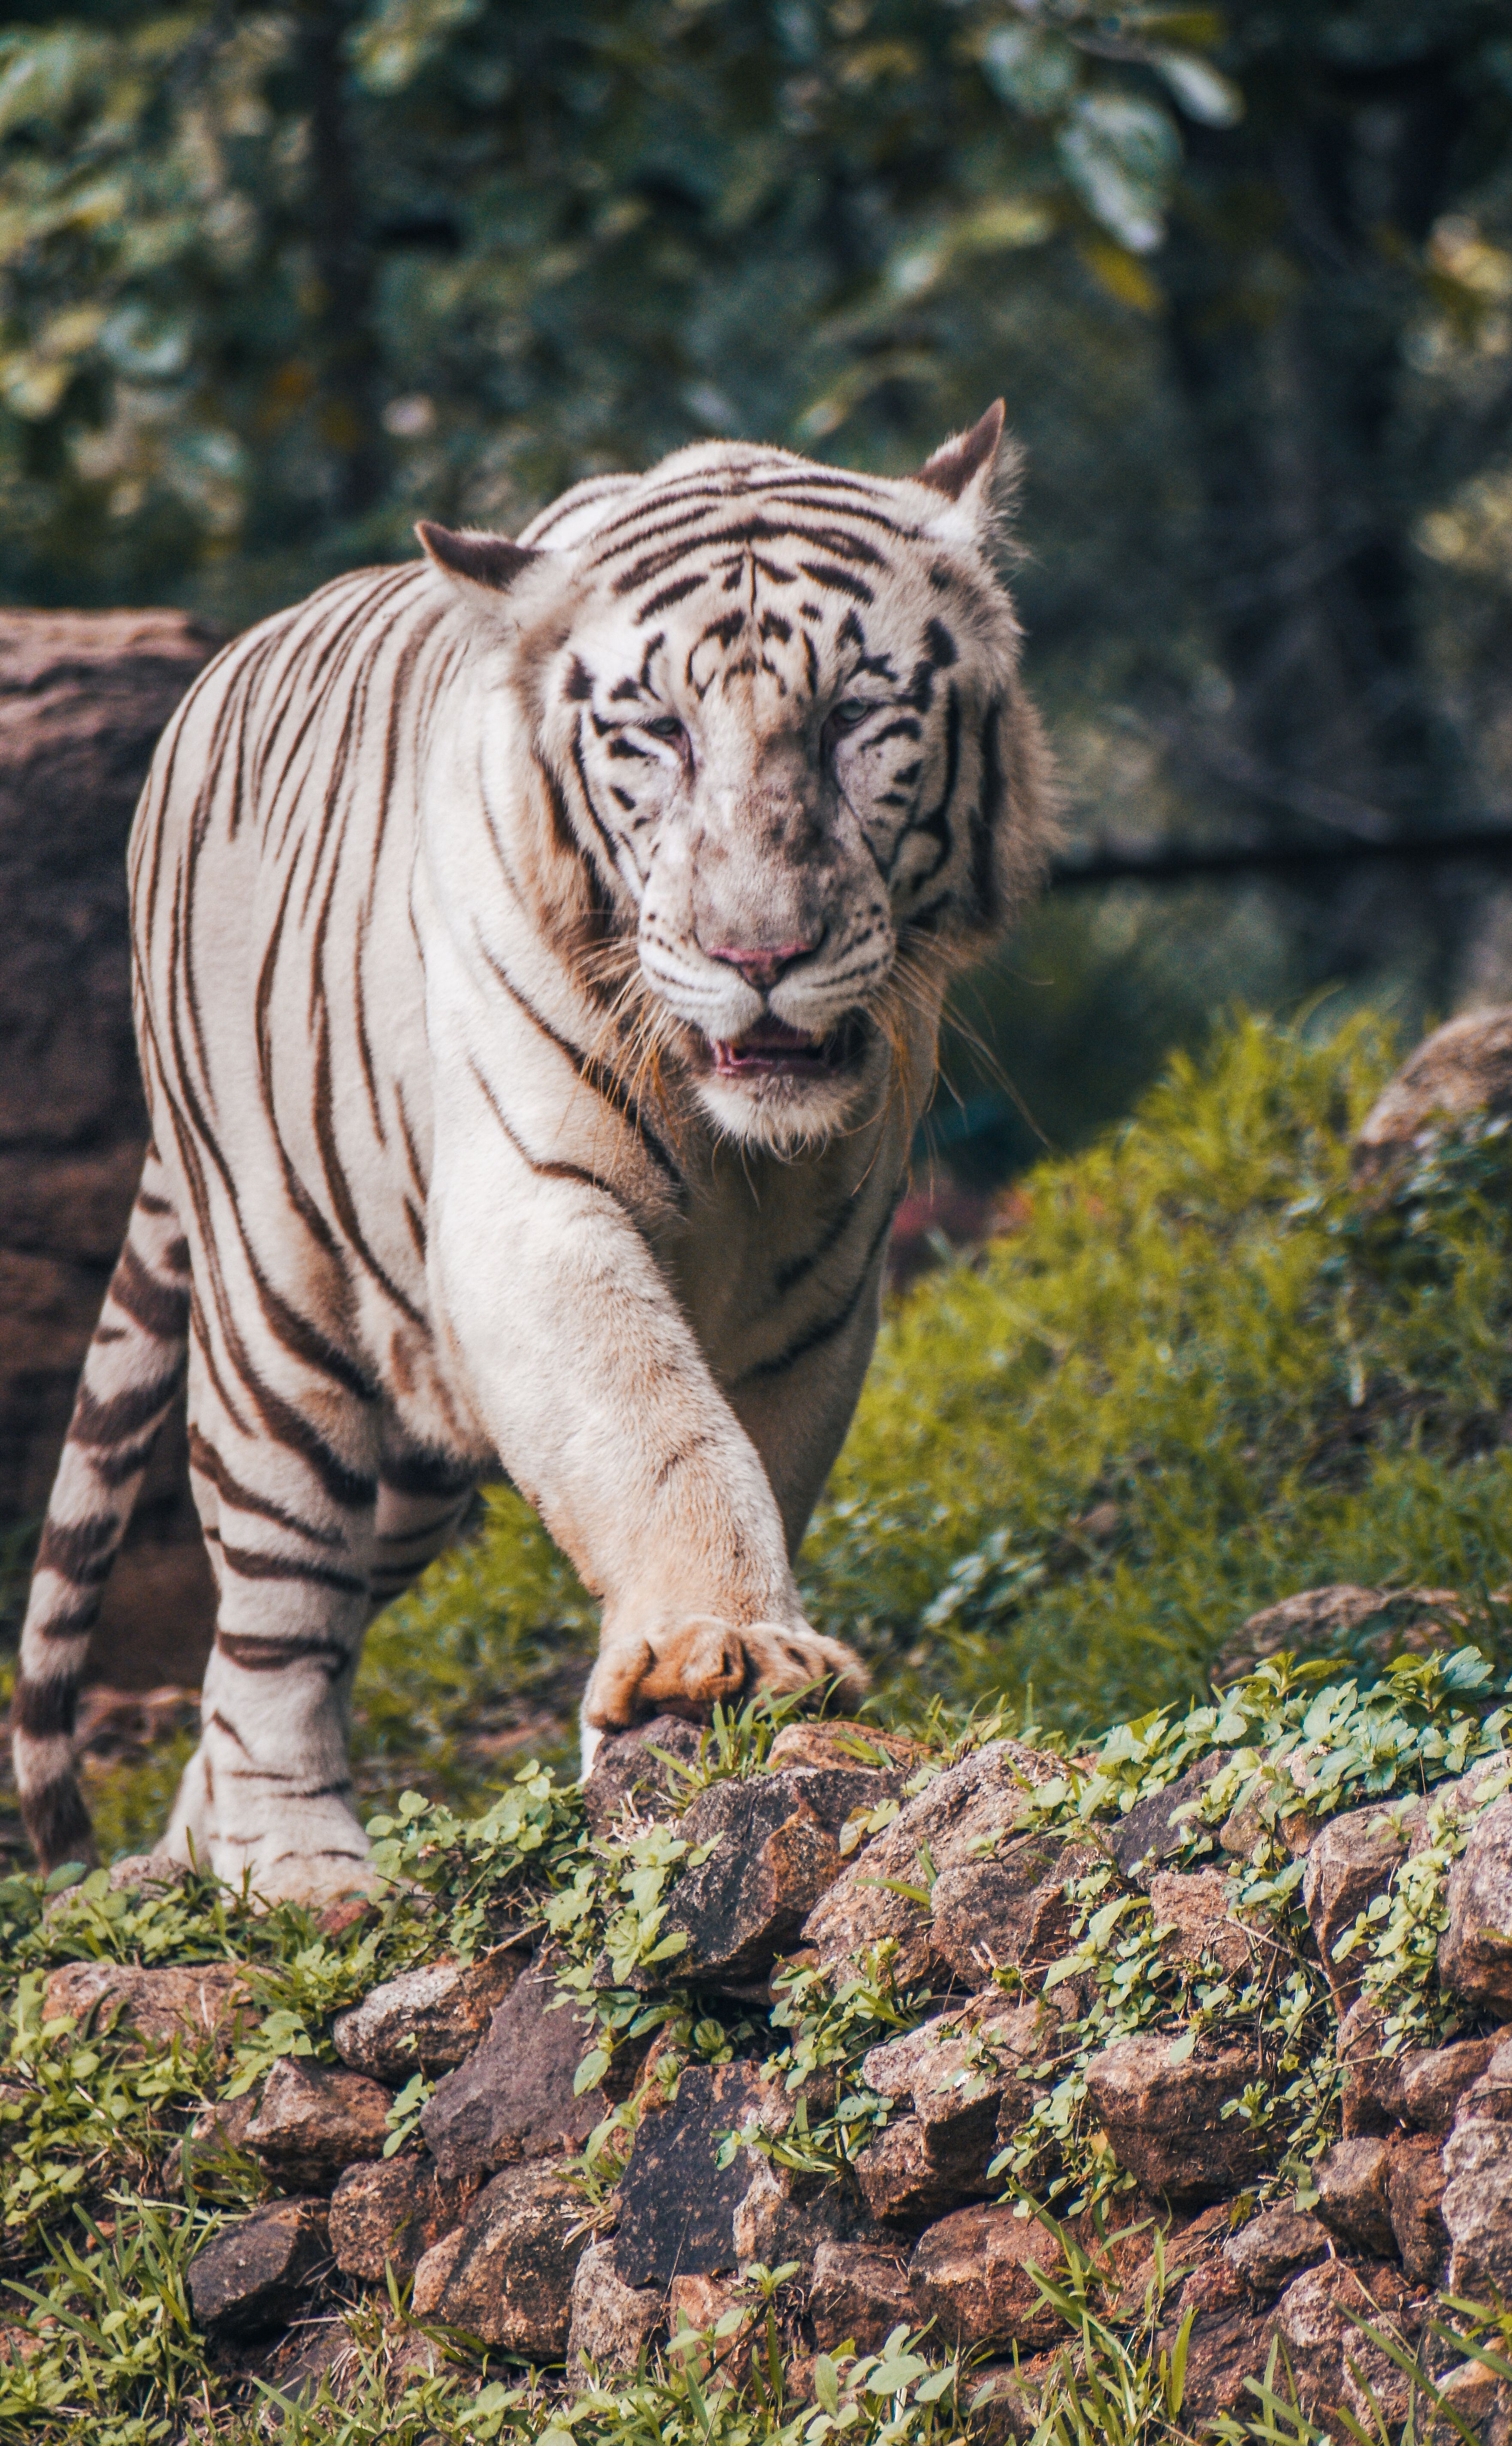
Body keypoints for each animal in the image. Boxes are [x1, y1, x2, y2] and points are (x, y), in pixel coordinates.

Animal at [11, 402, 1054, 1905]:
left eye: (855, 719)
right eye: (658, 732)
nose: (760, 954)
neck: (747, 1154)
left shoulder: (820, 1284)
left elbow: (745, 1453)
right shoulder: (532, 1210)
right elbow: (659, 1430)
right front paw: (709, 1645)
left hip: (416, 1474)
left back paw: (193, 1853)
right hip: (278, 1323)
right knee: (273, 1619)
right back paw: (300, 1868)